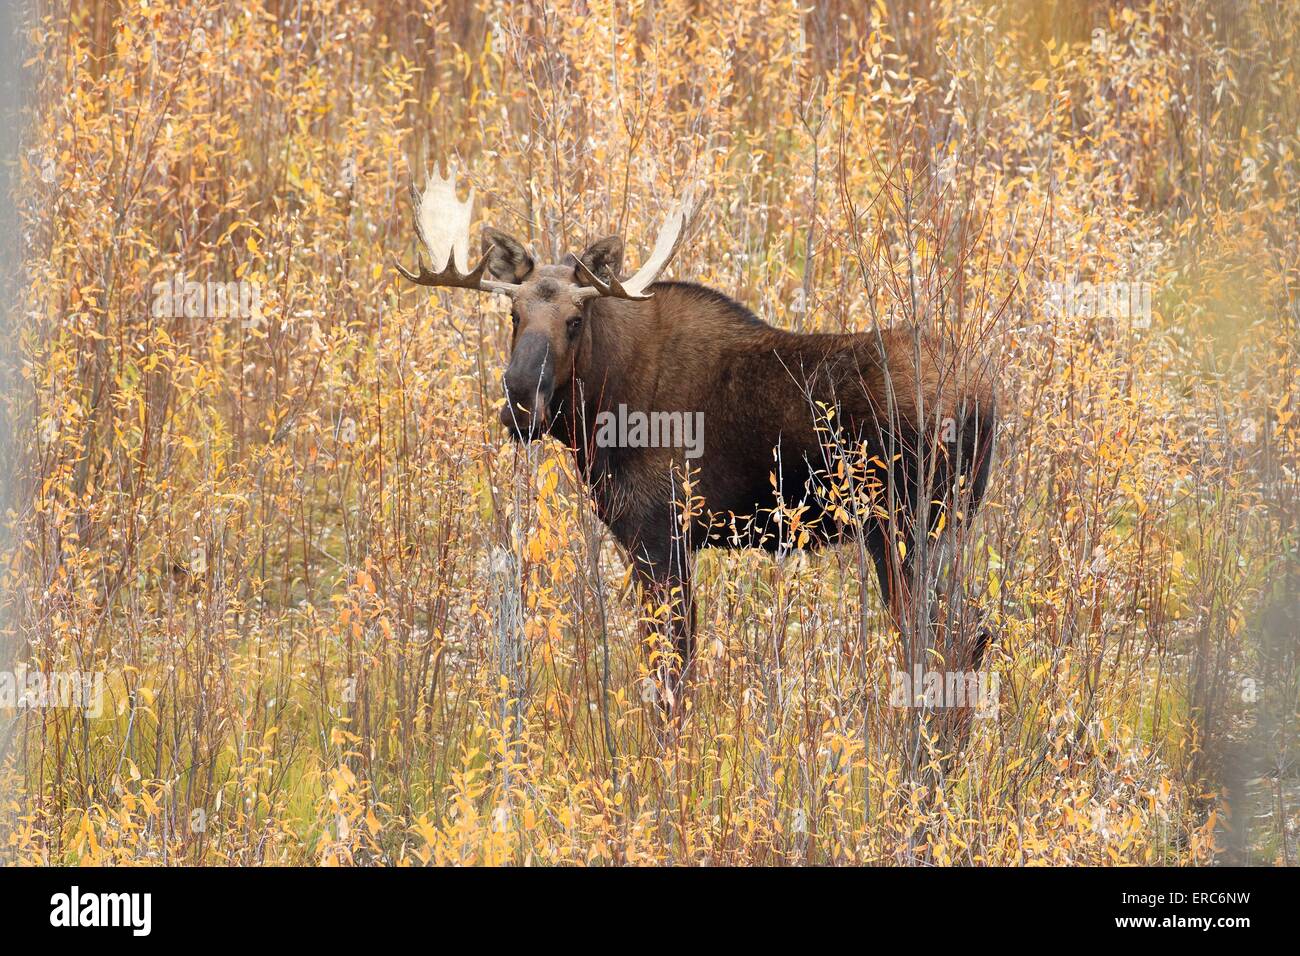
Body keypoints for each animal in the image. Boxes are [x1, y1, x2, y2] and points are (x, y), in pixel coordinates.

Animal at [396, 163, 997, 709]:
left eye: (574, 320)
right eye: (513, 313)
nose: (521, 406)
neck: (598, 420)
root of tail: (988, 398)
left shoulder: (661, 534)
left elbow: (671, 677)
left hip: (907, 526)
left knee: (950, 642)